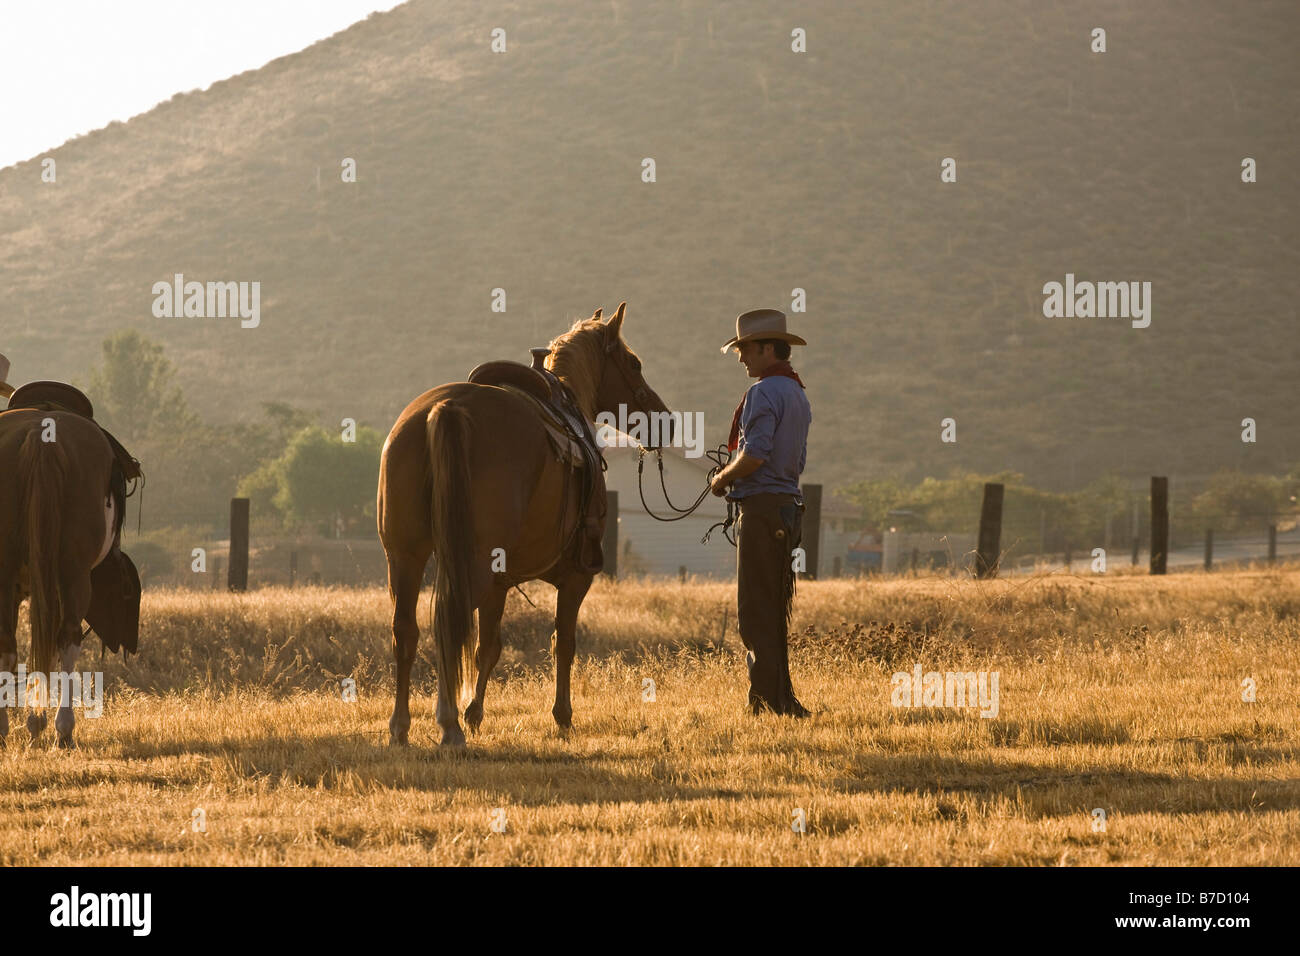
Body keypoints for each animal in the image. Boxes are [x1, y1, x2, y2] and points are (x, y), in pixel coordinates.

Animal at [378, 302, 673, 747]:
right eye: (634, 363)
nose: (665, 420)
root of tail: (446, 408)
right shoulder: (576, 578)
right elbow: (563, 643)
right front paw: (562, 715)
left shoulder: (500, 583)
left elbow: (488, 647)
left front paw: (475, 712)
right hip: (469, 566)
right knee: (450, 623)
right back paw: (447, 725)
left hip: (405, 556)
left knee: (407, 631)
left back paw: (401, 726)